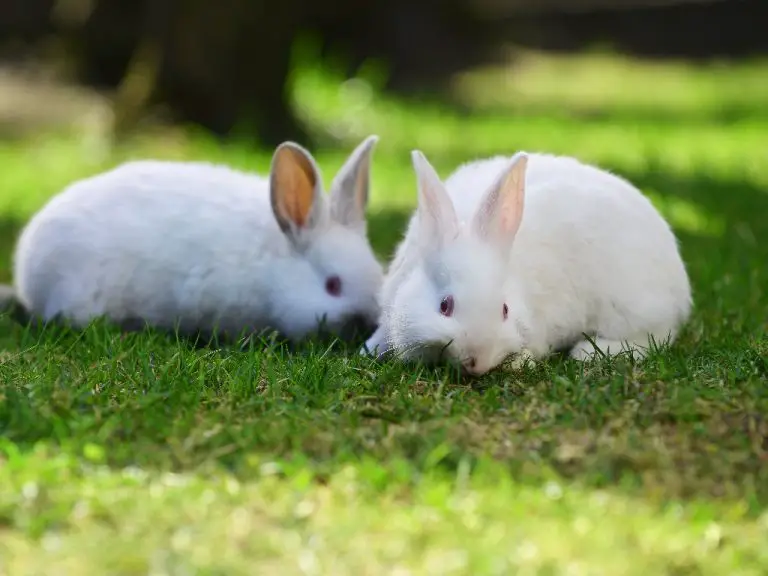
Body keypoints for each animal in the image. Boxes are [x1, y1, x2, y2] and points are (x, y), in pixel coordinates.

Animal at [363, 150, 692, 375]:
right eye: (445, 306)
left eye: (505, 310)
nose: (477, 361)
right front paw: (370, 349)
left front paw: (520, 363)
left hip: (630, 308)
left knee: (654, 337)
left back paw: (588, 352)